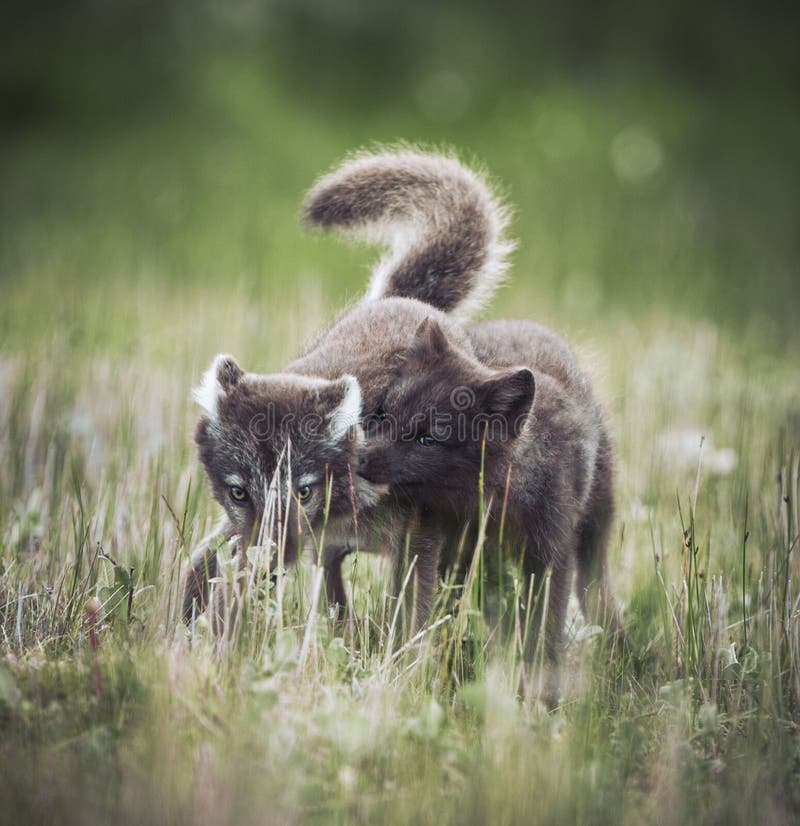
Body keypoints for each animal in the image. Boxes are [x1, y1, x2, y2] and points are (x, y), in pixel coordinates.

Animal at [182, 148, 514, 630]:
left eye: (304, 492)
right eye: (238, 492)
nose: (272, 562)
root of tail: (403, 301)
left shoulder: (418, 542)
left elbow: (410, 619)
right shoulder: (256, 538)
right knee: (196, 565)